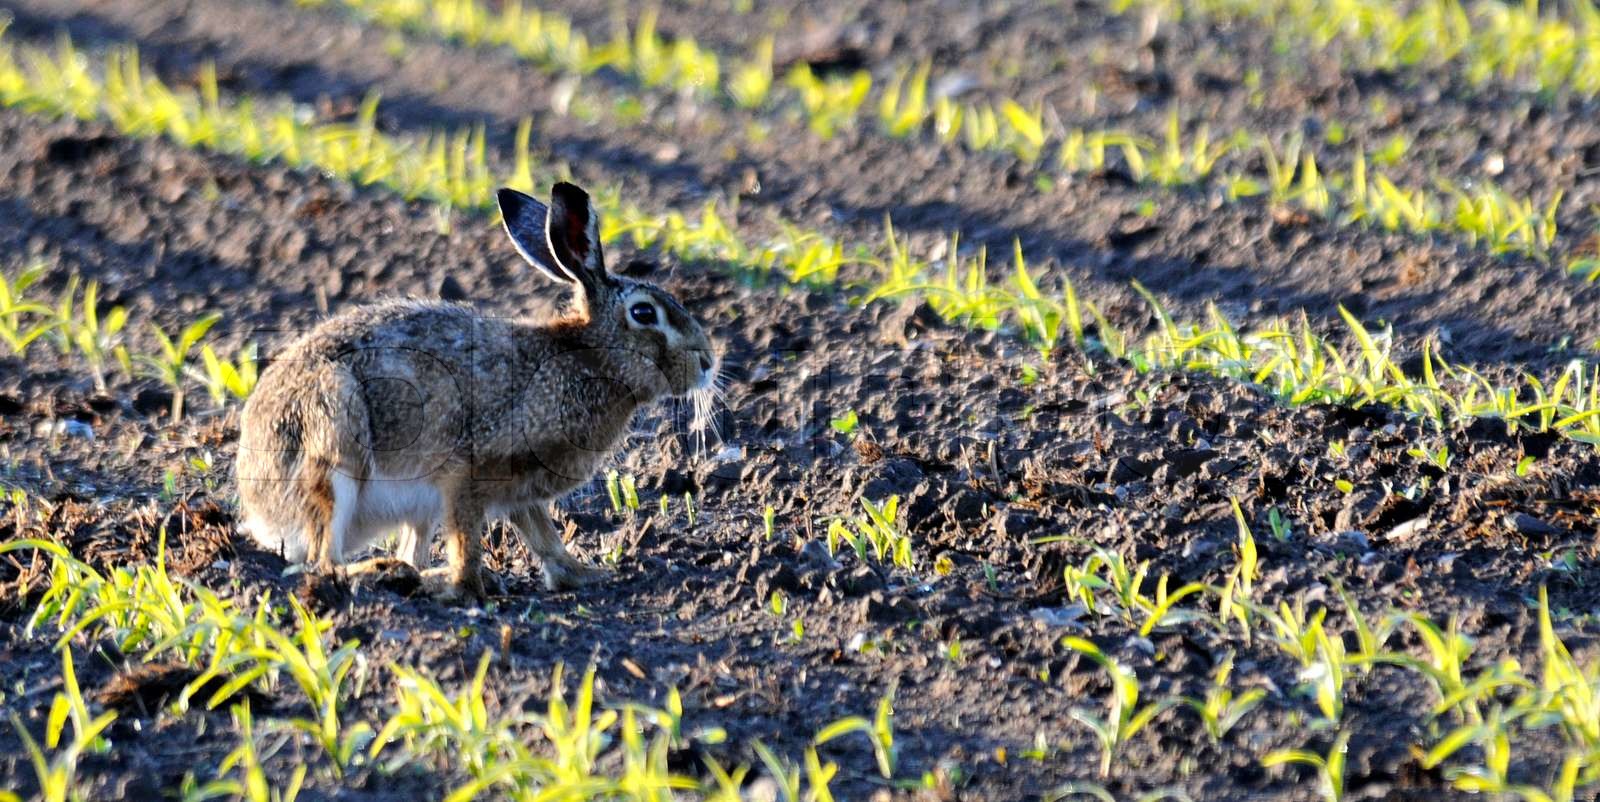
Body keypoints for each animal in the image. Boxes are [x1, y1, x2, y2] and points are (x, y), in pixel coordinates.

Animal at [234, 182, 719, 601]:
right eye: (644, 313)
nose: (708, 362)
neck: (591, 357)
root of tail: (260, 512)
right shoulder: (470, 471)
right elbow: (468, 540)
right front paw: (462, 588)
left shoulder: (521, 489)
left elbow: (543, 536)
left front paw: (584, 575)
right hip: (334, 434)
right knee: (322, 562)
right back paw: (390, 573)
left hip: (410, 505)